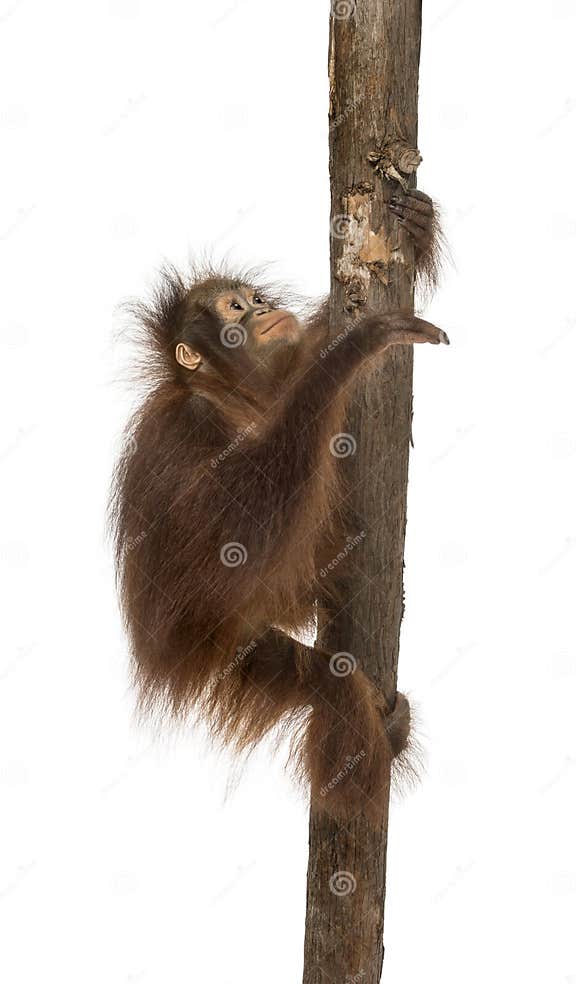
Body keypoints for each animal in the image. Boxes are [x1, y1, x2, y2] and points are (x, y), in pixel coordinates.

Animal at [109, 190, 446, 825]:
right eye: (234, 307)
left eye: (255, 297)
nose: (262, 308)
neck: (232, 395)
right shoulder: (193, 426)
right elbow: (231, 545)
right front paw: (349, 351)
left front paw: (418, 223)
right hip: (226, 650)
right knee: (328, 679)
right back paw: (358, 777)